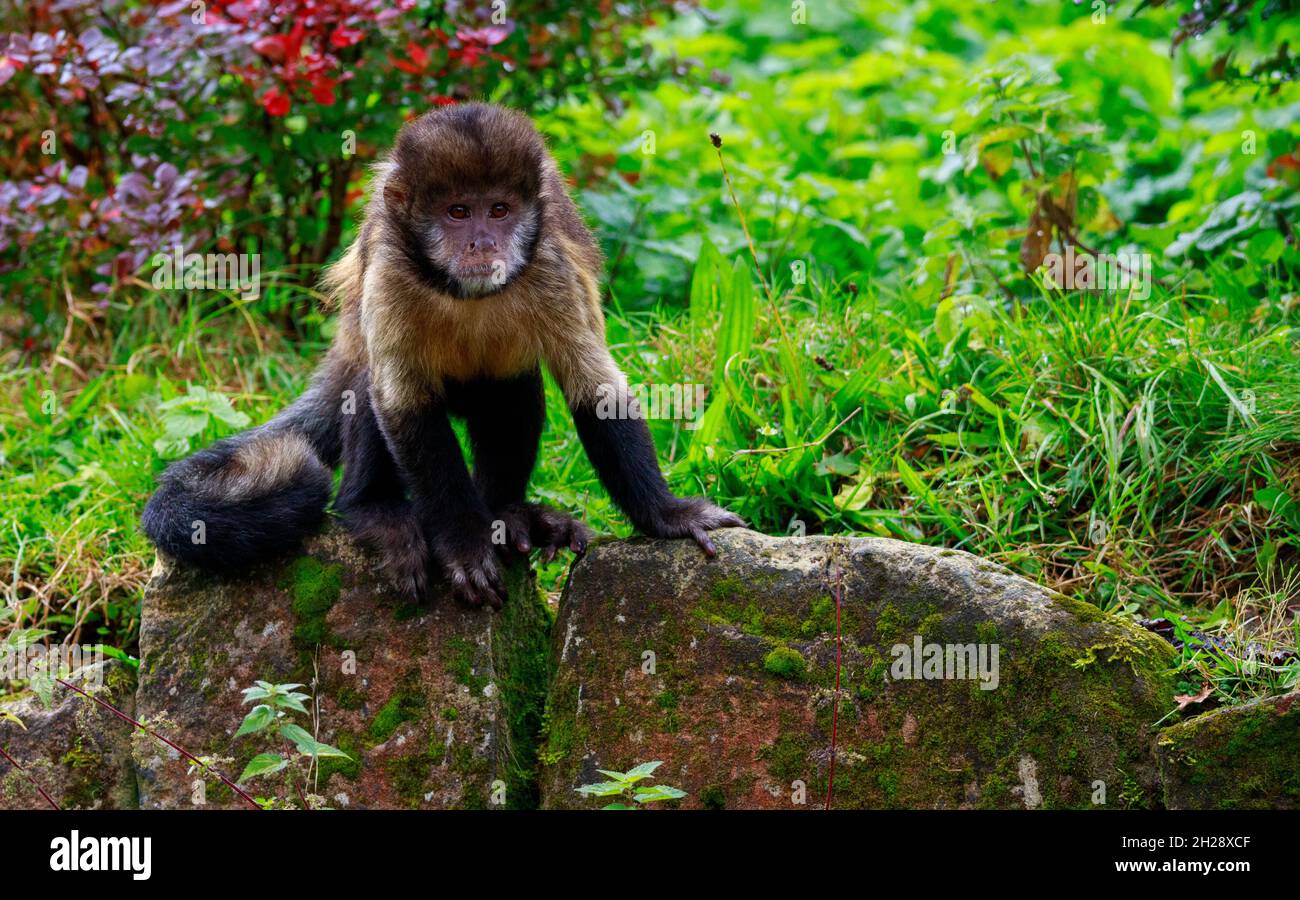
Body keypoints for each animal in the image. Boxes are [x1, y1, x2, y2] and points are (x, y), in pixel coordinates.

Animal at [143, 103, 744, 608]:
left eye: (498, 210)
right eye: (458, 212)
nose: (483, 243)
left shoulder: (549, 264)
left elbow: (595, 389)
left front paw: (667, 516)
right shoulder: (390, 270)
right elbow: (401, 405)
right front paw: (462, 546)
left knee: (514, 385)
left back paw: (507, 514)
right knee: (365, 385)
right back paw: (371, 510)